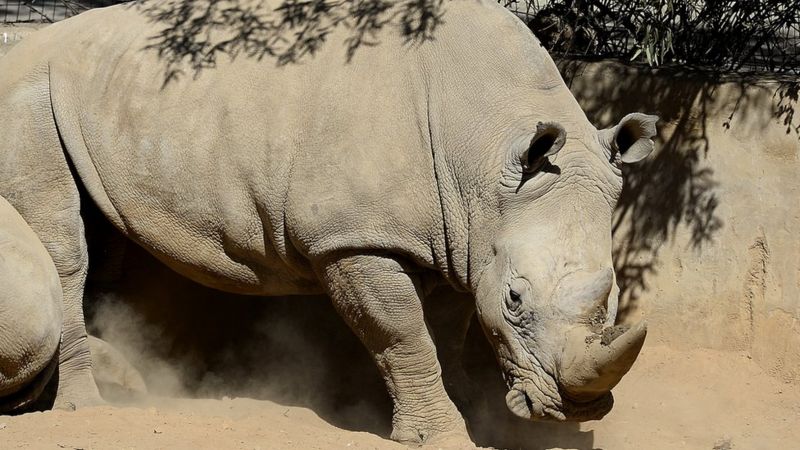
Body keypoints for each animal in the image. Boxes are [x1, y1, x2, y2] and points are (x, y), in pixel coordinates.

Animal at [0, 0, 656, 444]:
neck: (486, 149)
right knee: (63, 248)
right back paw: (89, 410)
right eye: (516, 300)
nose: (576, 409)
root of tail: (21, 44)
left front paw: (468, 415)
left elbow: (448, 327)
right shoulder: (351, 239)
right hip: (28, 93)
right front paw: (440, 436)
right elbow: (402, 331)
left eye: (613, 295)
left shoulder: (459, 234)